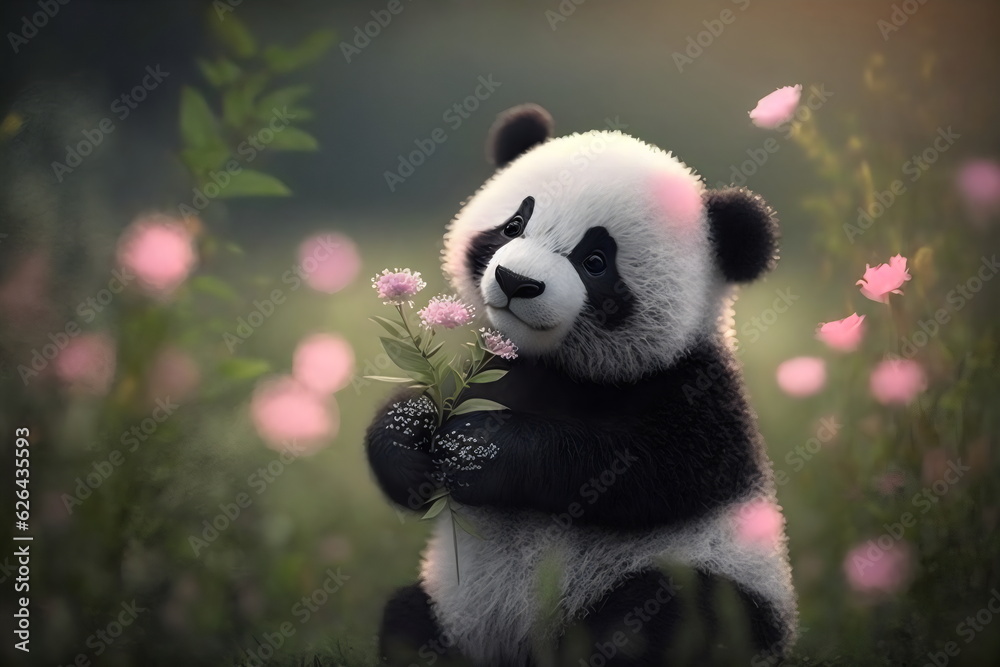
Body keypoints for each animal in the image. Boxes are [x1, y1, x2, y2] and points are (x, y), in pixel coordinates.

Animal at [365, 104, 797, 666]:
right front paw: (409, 441)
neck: (564, 365)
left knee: (668, 615)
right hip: (453, 610)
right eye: (514, 225)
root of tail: (520, 649)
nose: (515, 282)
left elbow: (648, 468)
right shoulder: (499, 364)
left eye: (595, 261)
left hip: (712, 579)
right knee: (406, 622)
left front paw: (478, 449)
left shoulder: (696, 389)